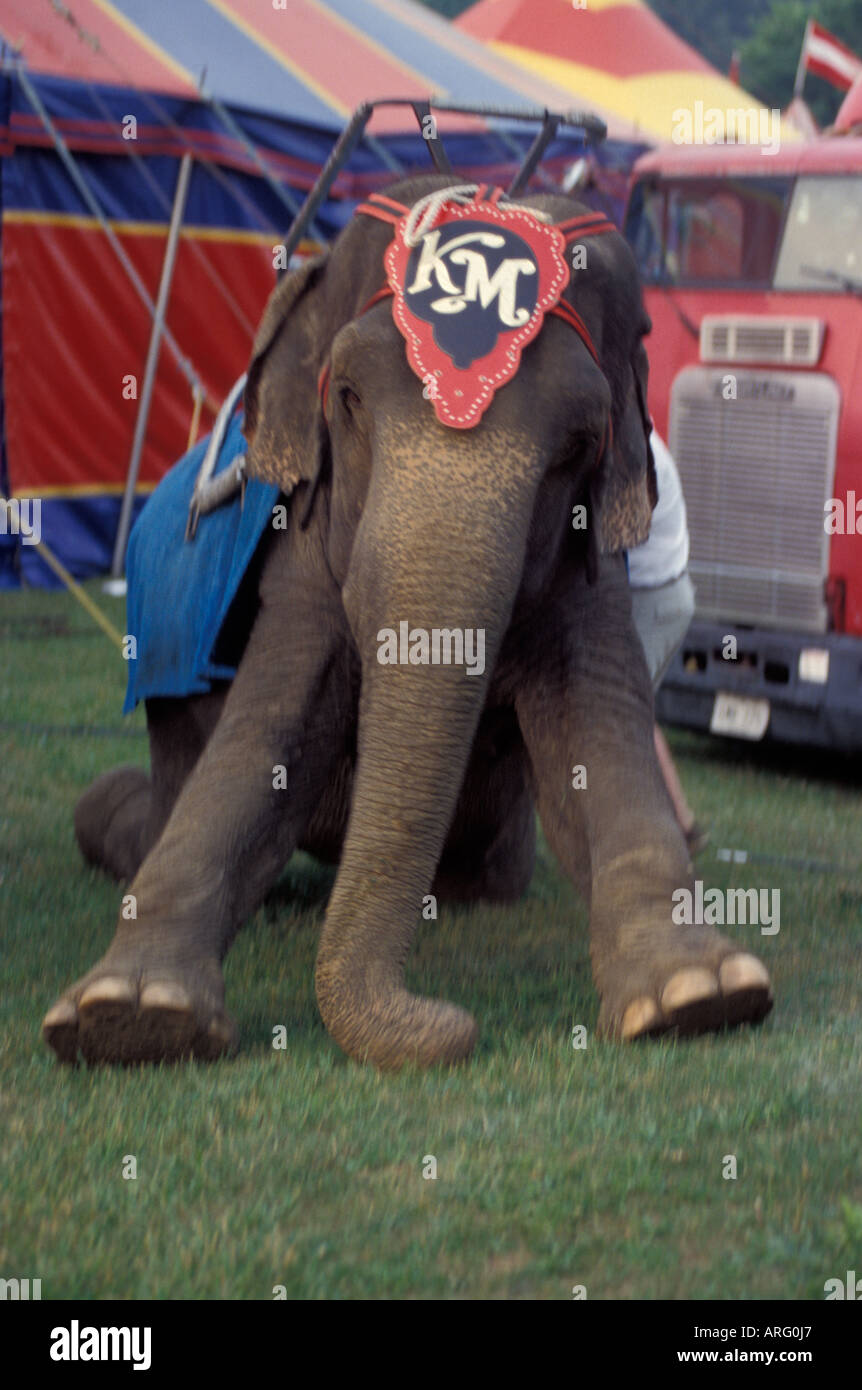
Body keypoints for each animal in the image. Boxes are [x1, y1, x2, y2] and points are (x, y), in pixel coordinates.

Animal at [42, 173, 773, 1070]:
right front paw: (132, 1014)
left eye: (579, 442)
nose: (452, 1021)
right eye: (349, 398)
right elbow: (262, 742)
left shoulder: (591, 562)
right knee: (147, 803)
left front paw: (700, 994)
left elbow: (598, 733)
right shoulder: (305, 551)